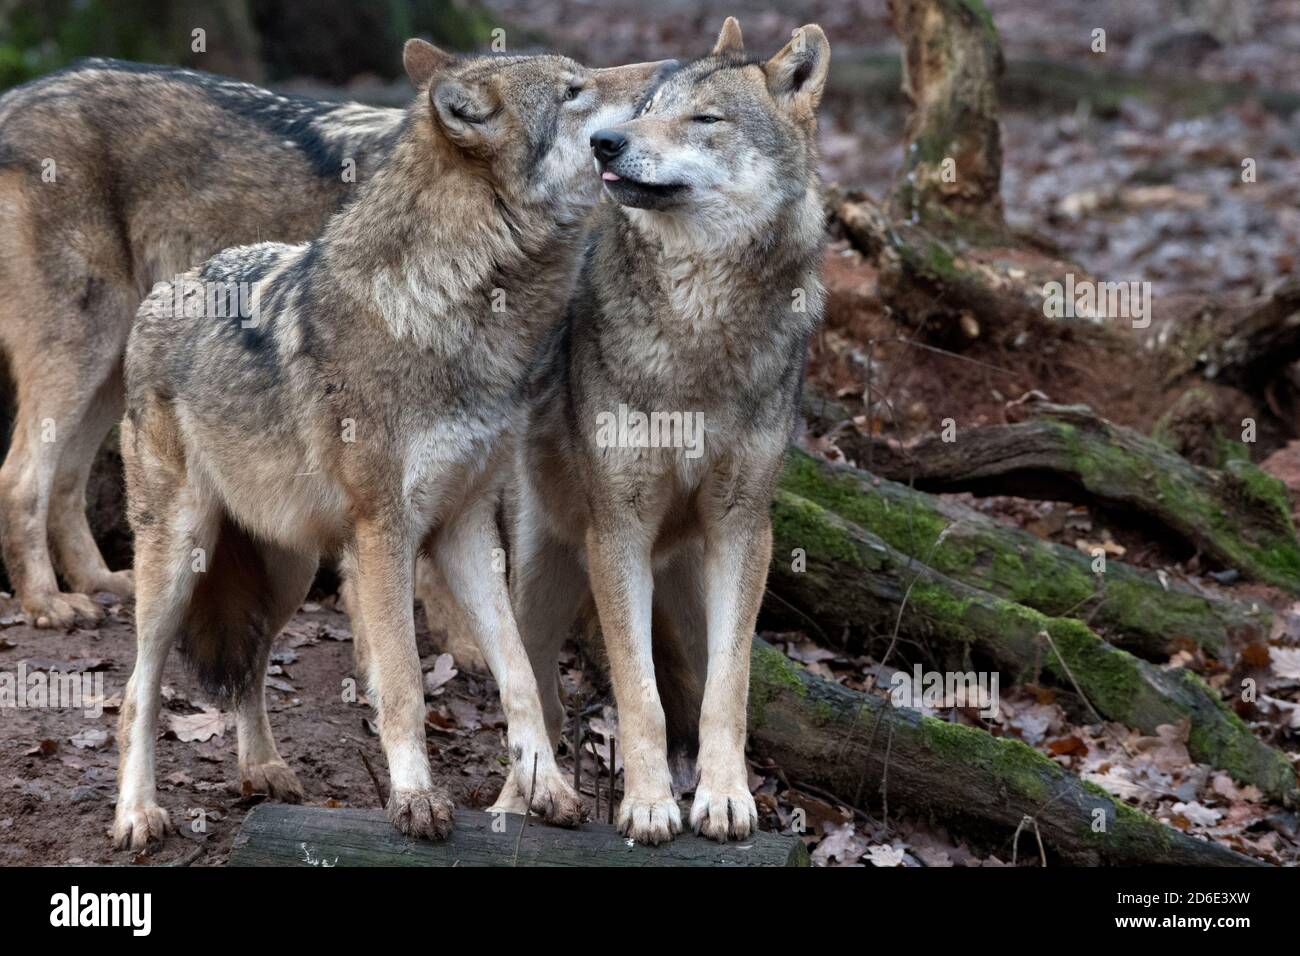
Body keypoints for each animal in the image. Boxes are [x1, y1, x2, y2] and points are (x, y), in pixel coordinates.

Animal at [113, 40, 666, 849]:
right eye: (573, 91)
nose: (666, 72)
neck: (461, 310)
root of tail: (165, 288)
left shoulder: (465, 525)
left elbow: (519, 675)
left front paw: (547, 789)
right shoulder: (386, 533)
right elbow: (402, 681)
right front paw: (415, 799)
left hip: (289, 569)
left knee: (249, 667)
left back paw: (263, 769)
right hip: (180, 557)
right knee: (138, 688)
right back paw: (136, 813)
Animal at [505, 18, 830, 845]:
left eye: (704, 119)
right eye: (647, 109)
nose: (606, 142)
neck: (698, 332)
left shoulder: (745, 530)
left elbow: (727, 693)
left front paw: (724, 798)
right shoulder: (617, 530)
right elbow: (638, 693)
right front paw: (650, 804)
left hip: (687, 583)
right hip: (546, 573)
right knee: (530, 686)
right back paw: (520, 800)